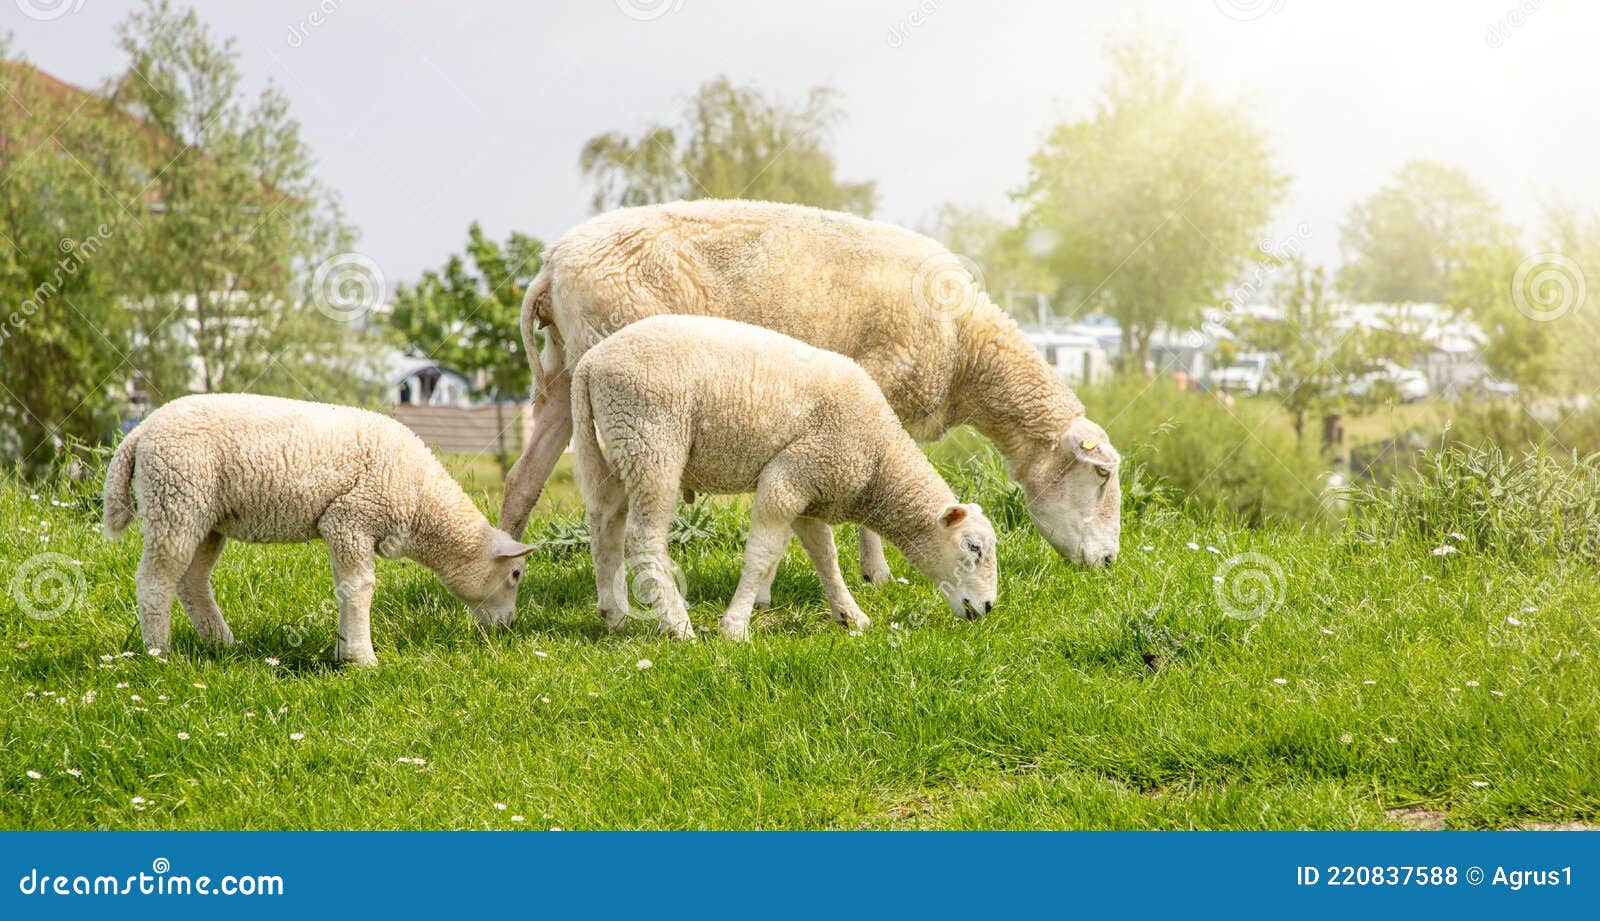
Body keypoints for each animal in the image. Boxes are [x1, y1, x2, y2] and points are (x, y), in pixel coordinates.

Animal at [102, 394, 536, 665]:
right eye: (515, 574)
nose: (509, 627)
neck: (421, 503)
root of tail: (141, 432)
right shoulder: (349, 518)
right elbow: (359, 588)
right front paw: (363, 659)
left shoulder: (348, 527)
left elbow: (347, 588)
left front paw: (346, 651)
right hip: (175, 500)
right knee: (155, 580)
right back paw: (160, 654)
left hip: (205, 518)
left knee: (191, 581)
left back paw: (223, 644)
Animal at [500, 200, 1121, 602]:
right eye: (1102, 475)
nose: (1111, 562)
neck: (965, 348)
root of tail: (553, 263)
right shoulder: (878, 391)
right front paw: (874, 575)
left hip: (563, 378)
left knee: (522, 481)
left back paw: (501, 588)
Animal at [571, 314, 999, 641]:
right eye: (973, 548)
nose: (989, 607)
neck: (879, 458)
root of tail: (590, 363)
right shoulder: (788, 478)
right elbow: (761, 556)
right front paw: (735, 627)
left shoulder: (812, 488)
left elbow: (825, 556)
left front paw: (850, 615)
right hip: (652, 439)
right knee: (643, 539)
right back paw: (678, 626)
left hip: (622, 444)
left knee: (605, 525)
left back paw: (615, 615)